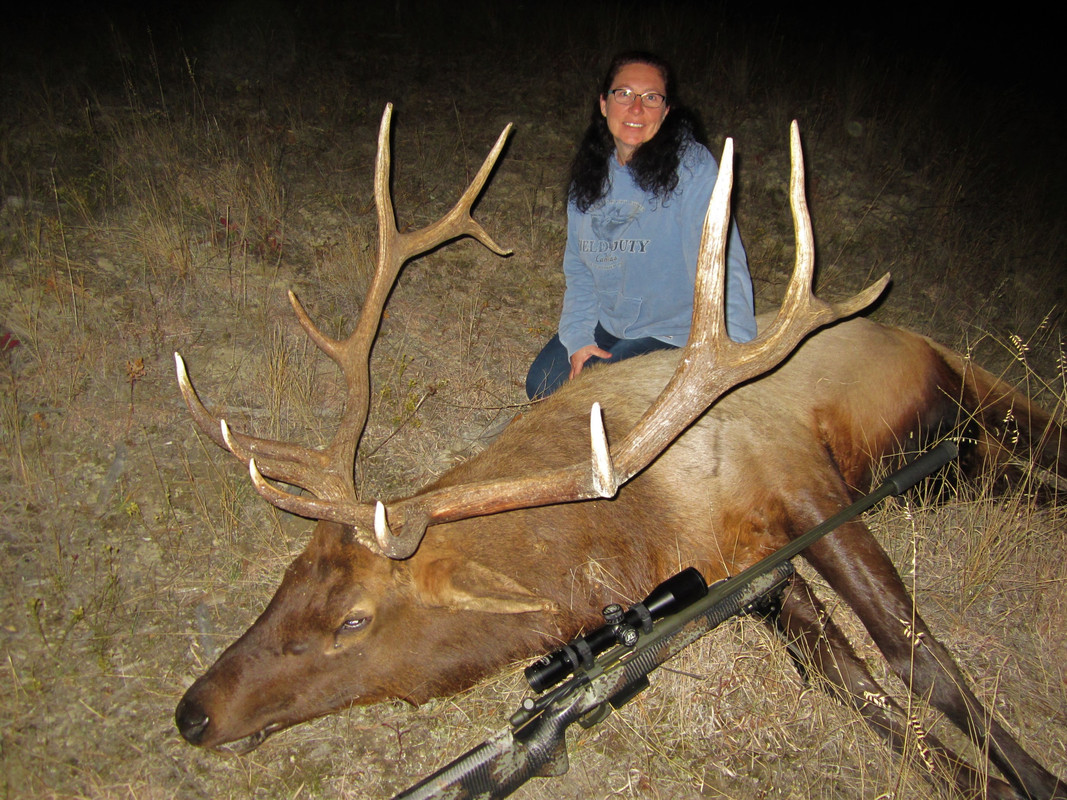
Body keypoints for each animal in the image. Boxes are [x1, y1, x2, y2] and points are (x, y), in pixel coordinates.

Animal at [173, 105, 1066, 800]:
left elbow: (918, 659)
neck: (647, 520)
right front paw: (976, 781)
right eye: (290, 575)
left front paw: (1036, 778)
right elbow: (849, 681)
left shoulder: (800, 479)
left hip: (976, 389)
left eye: (354, 619)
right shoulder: (750, 569)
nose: (193, 712)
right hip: (959, 469)